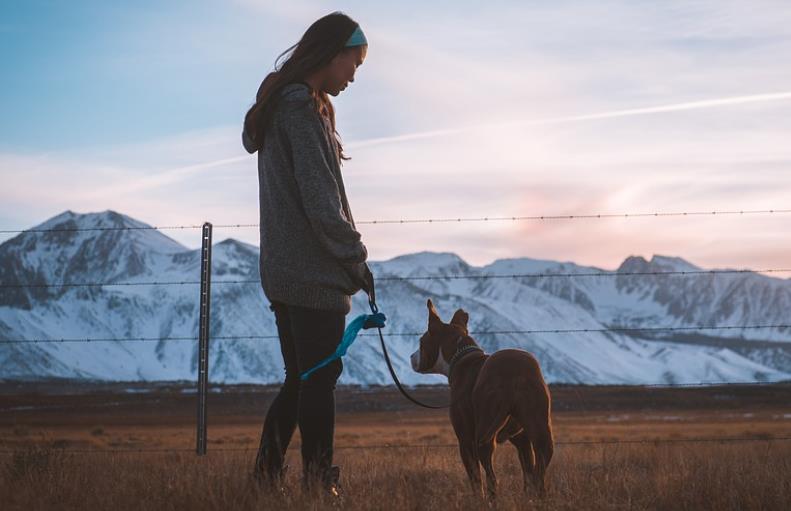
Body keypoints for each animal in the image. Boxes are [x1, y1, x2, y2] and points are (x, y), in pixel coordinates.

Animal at [412, 298, 552, 498]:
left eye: (421, 342)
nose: (411, 357)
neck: (460, 355)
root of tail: (513, 375)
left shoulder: (465, 439)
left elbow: (475, 479)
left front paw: (477, 498)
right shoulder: (521, 439)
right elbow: (528, 472)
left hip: (484, 433)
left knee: (492, 477)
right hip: (540, 429)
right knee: (539, 472)